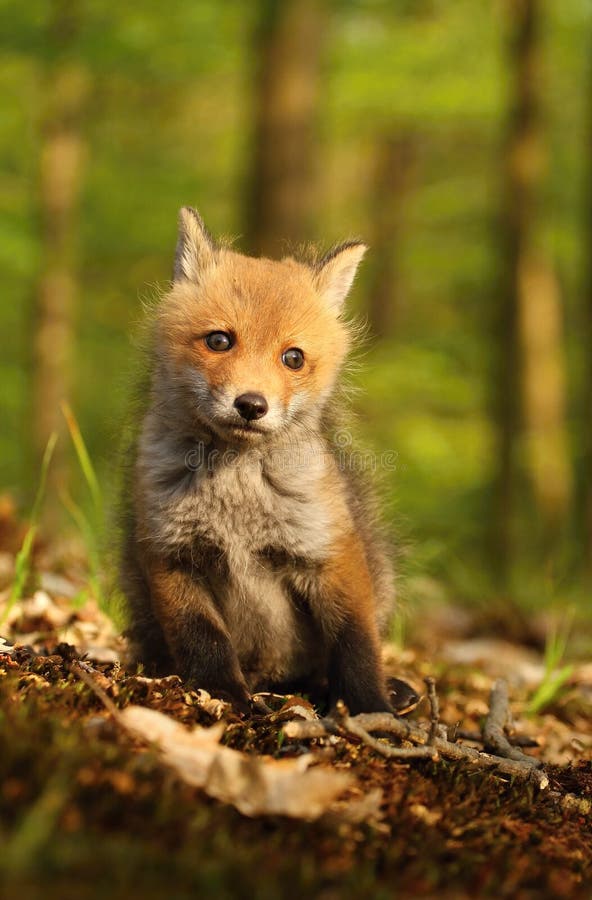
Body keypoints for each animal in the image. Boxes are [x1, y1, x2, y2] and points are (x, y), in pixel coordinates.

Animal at [120, 207, 414, 715]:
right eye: (219, 341)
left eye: (292, 358)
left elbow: (356, 643)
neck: (237, 498)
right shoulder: (169, 552)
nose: (251, 405)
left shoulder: (328, 552)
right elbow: (203, 638)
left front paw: (371, 708)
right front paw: (221, 694)